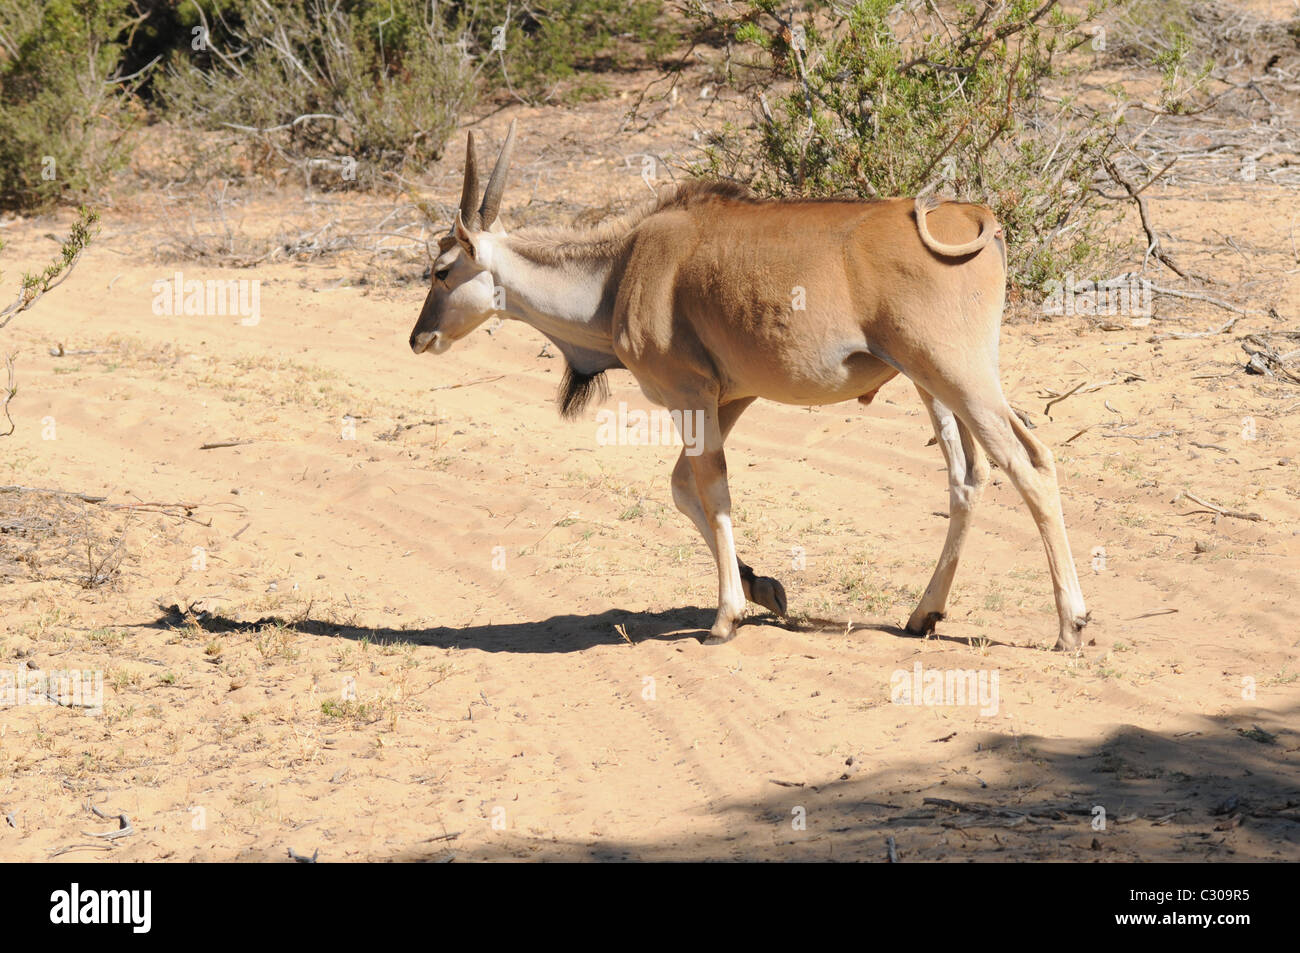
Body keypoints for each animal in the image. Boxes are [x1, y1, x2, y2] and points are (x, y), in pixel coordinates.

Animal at [410, 121, 1091, 650]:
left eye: (441, 271)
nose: (418, 338)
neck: (621, 270)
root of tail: (975, 215)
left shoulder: (689, 396)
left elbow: (712, 490)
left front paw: (725, 617)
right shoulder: (729, 398)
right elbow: (685, 490)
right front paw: (764, 588)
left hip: (958, 376)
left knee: (1030, 463)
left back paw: (1071, 626)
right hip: (933, 385)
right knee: (967, 477)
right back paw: (923, 615)